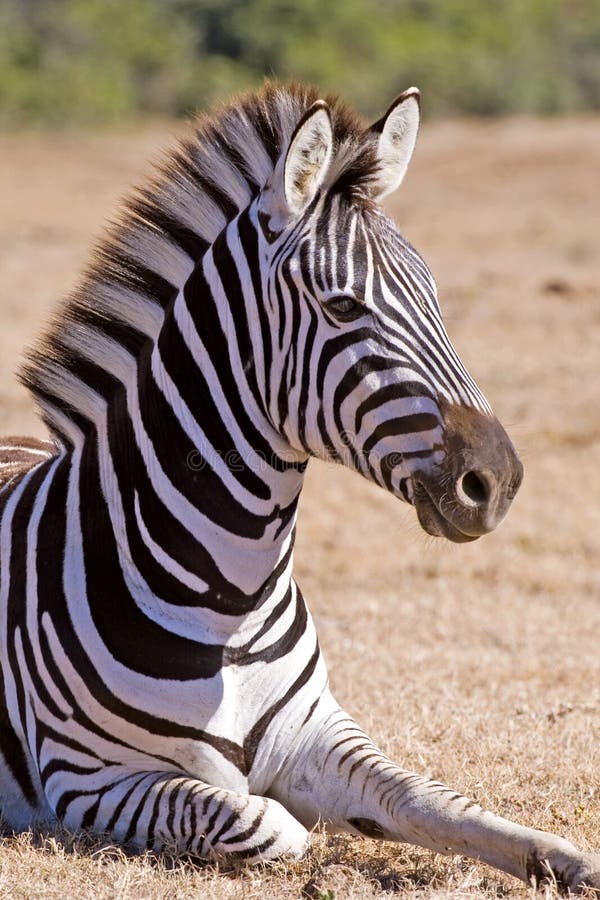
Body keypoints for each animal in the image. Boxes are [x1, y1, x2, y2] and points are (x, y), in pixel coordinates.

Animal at [0, 83, 598, 893]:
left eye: (436, 298)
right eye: (343, 307)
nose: (497, 481)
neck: (230, 598)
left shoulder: (315, 732)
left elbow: (431, 798)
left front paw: (564, 858)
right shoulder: (86, 780)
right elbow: (273, 825)